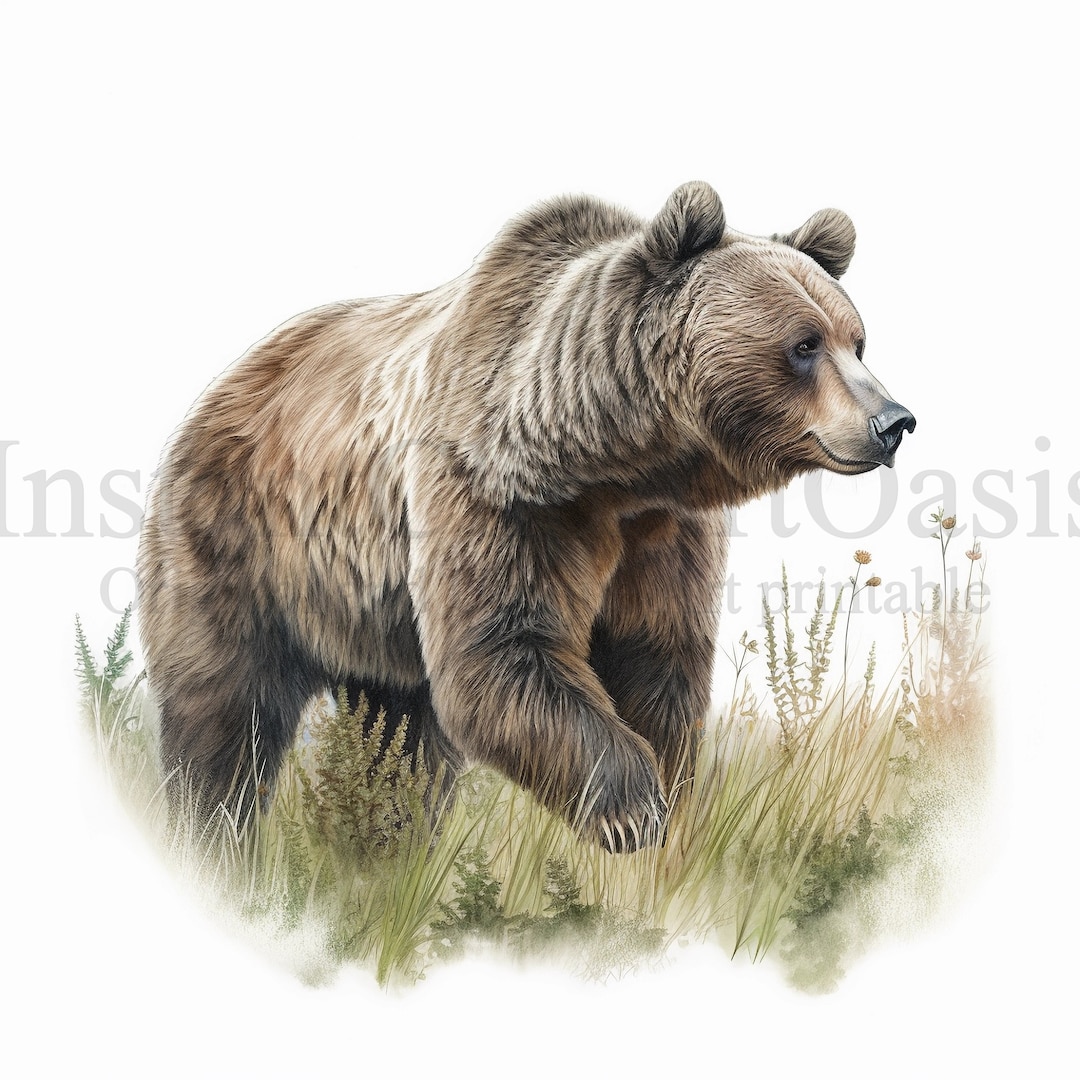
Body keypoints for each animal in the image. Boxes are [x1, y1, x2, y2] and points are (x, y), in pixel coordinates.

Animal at [137, 182, 915, 852]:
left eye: (857, 340)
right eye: (804, 344)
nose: (893, 421)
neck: (617, 463)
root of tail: (229, 382)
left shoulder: (663, 531)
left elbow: (656, 658)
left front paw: (674, 800)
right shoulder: (492, 495)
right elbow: (507, 650)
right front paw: (635, 812)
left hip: (371, 623)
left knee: (400, 737)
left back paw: (383, 847)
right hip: (240, 543)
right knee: (225, 712)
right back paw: (216, 832)